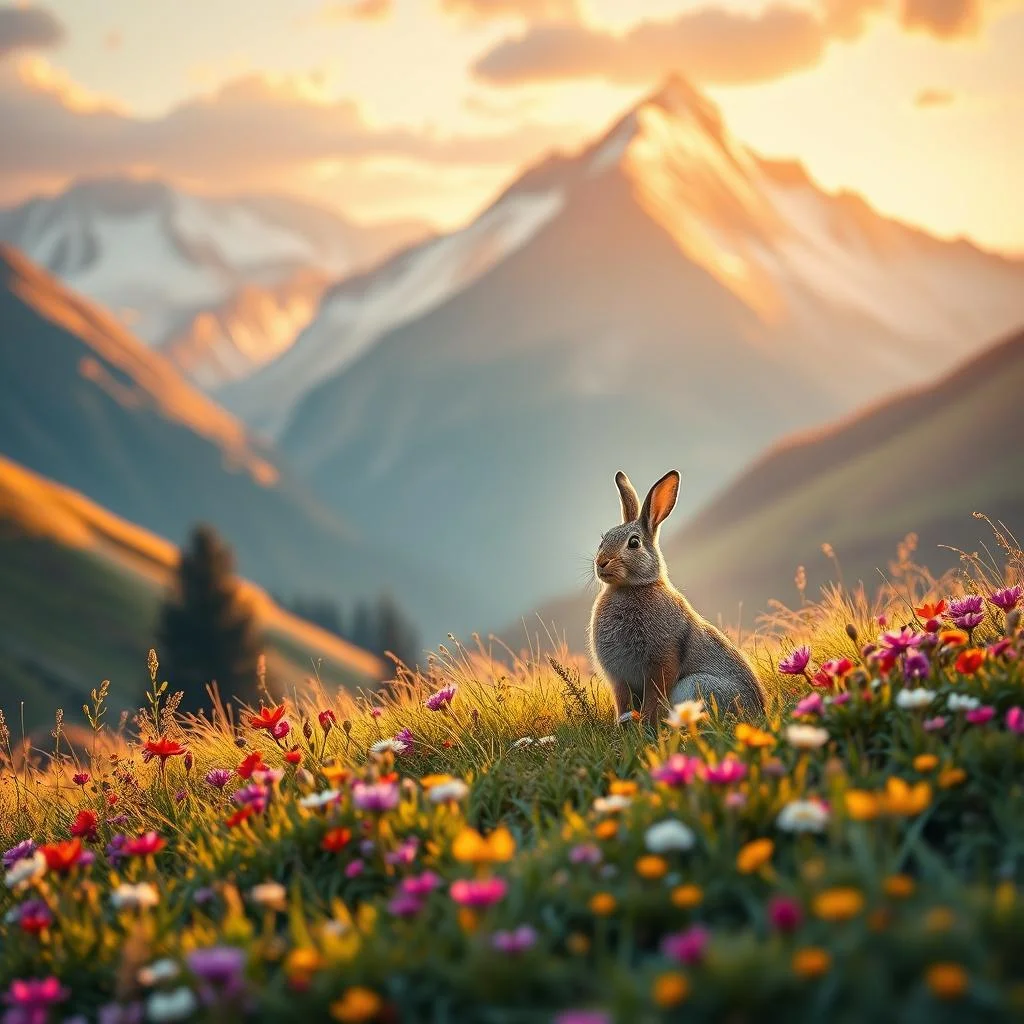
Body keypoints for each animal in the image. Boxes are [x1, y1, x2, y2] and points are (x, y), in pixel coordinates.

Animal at [588, 469, 766, 726]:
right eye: (604, 538)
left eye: (634, 543)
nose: (601, 562)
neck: (631, 587)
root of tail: (759, 711)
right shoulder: (619, 678)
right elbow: (622, 702)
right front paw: (625, 724)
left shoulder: (661, 660)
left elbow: (654, 696)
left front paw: (645, 724)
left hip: (693, 685)